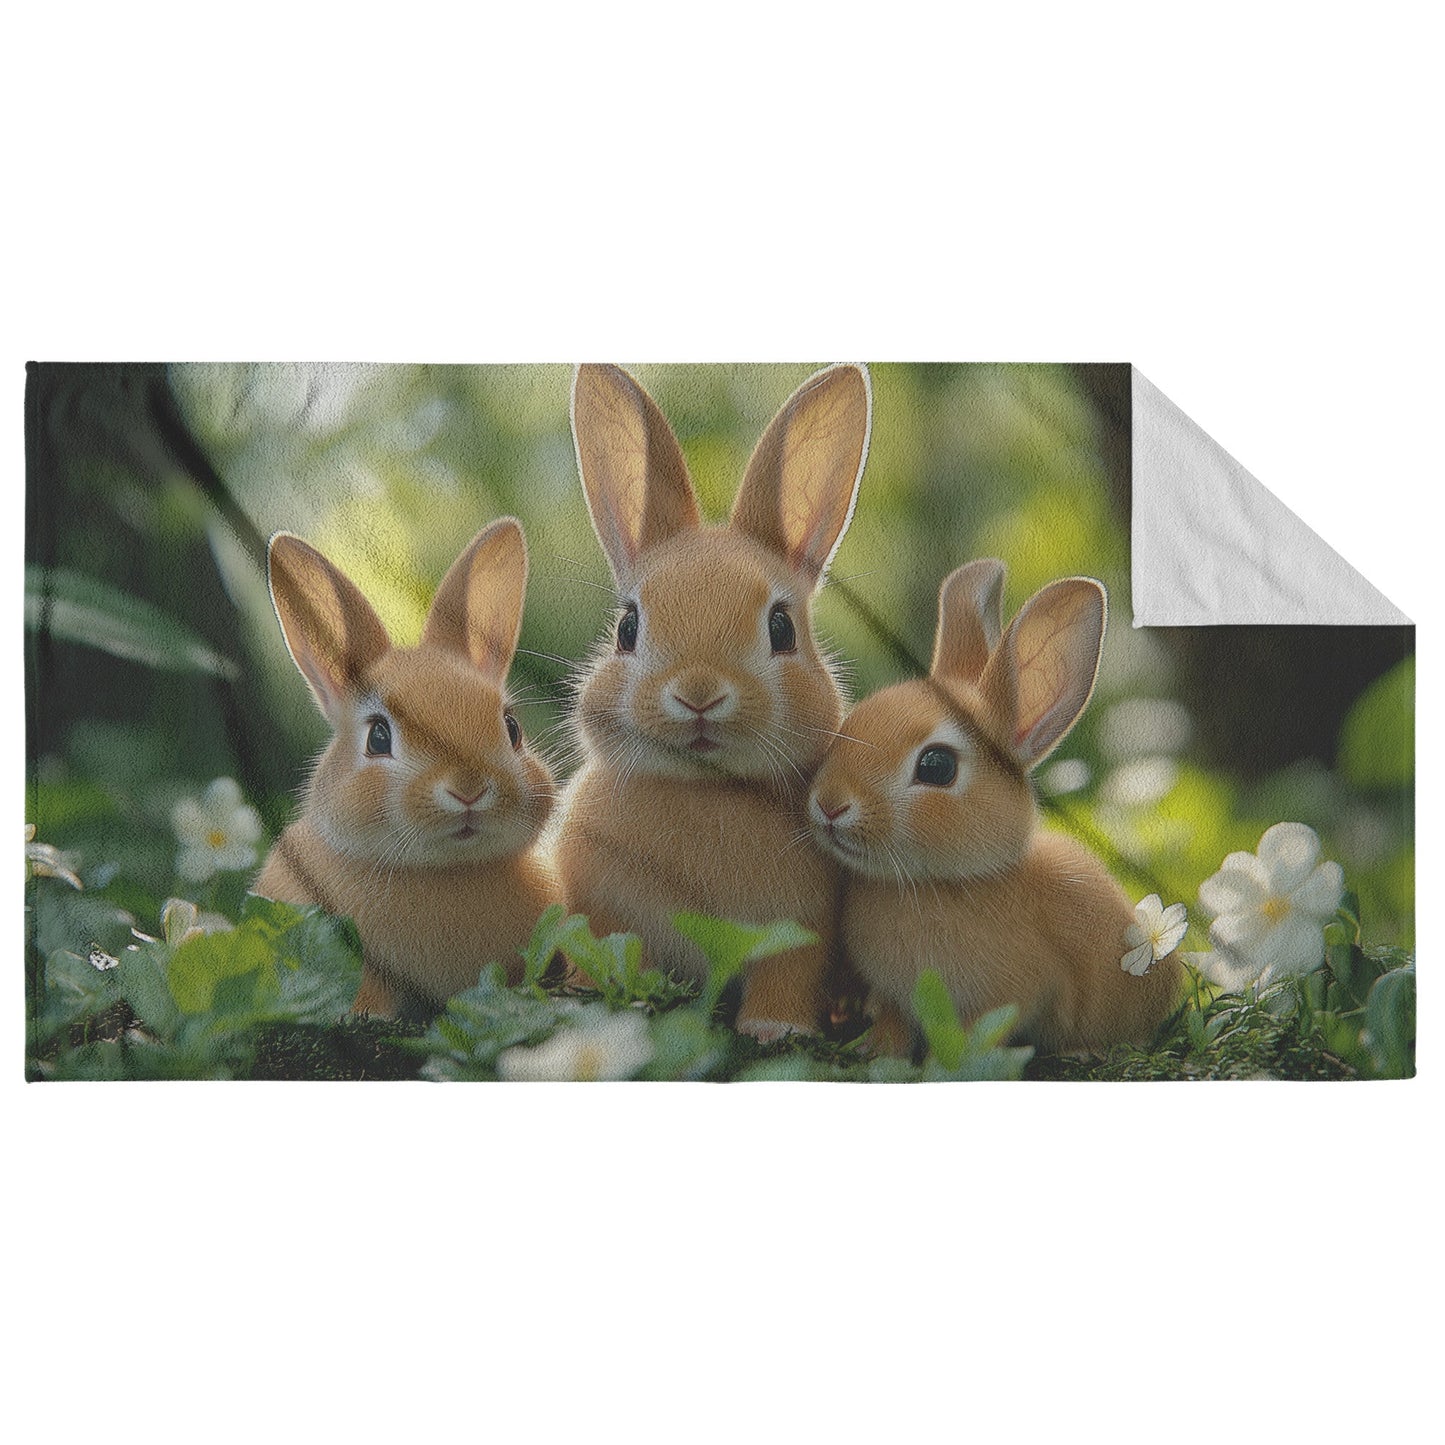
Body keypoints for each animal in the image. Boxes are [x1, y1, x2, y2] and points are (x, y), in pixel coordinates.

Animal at [552, 363, 873, 1040]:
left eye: (782, 627)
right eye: (627, 627)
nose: (698, 694)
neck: (703, 787)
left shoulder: (800, 930)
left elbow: (787, 976)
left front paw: (776, 1029)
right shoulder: (600, 905)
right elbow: (608, 951)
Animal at [807, 560, 1183, 1056]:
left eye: (937, 766)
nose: (830, 805)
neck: (945, 883)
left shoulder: (1016, 992)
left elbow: (979, 1033)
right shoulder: (894, 998)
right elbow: (894, 1023)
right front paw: (875, 1051)